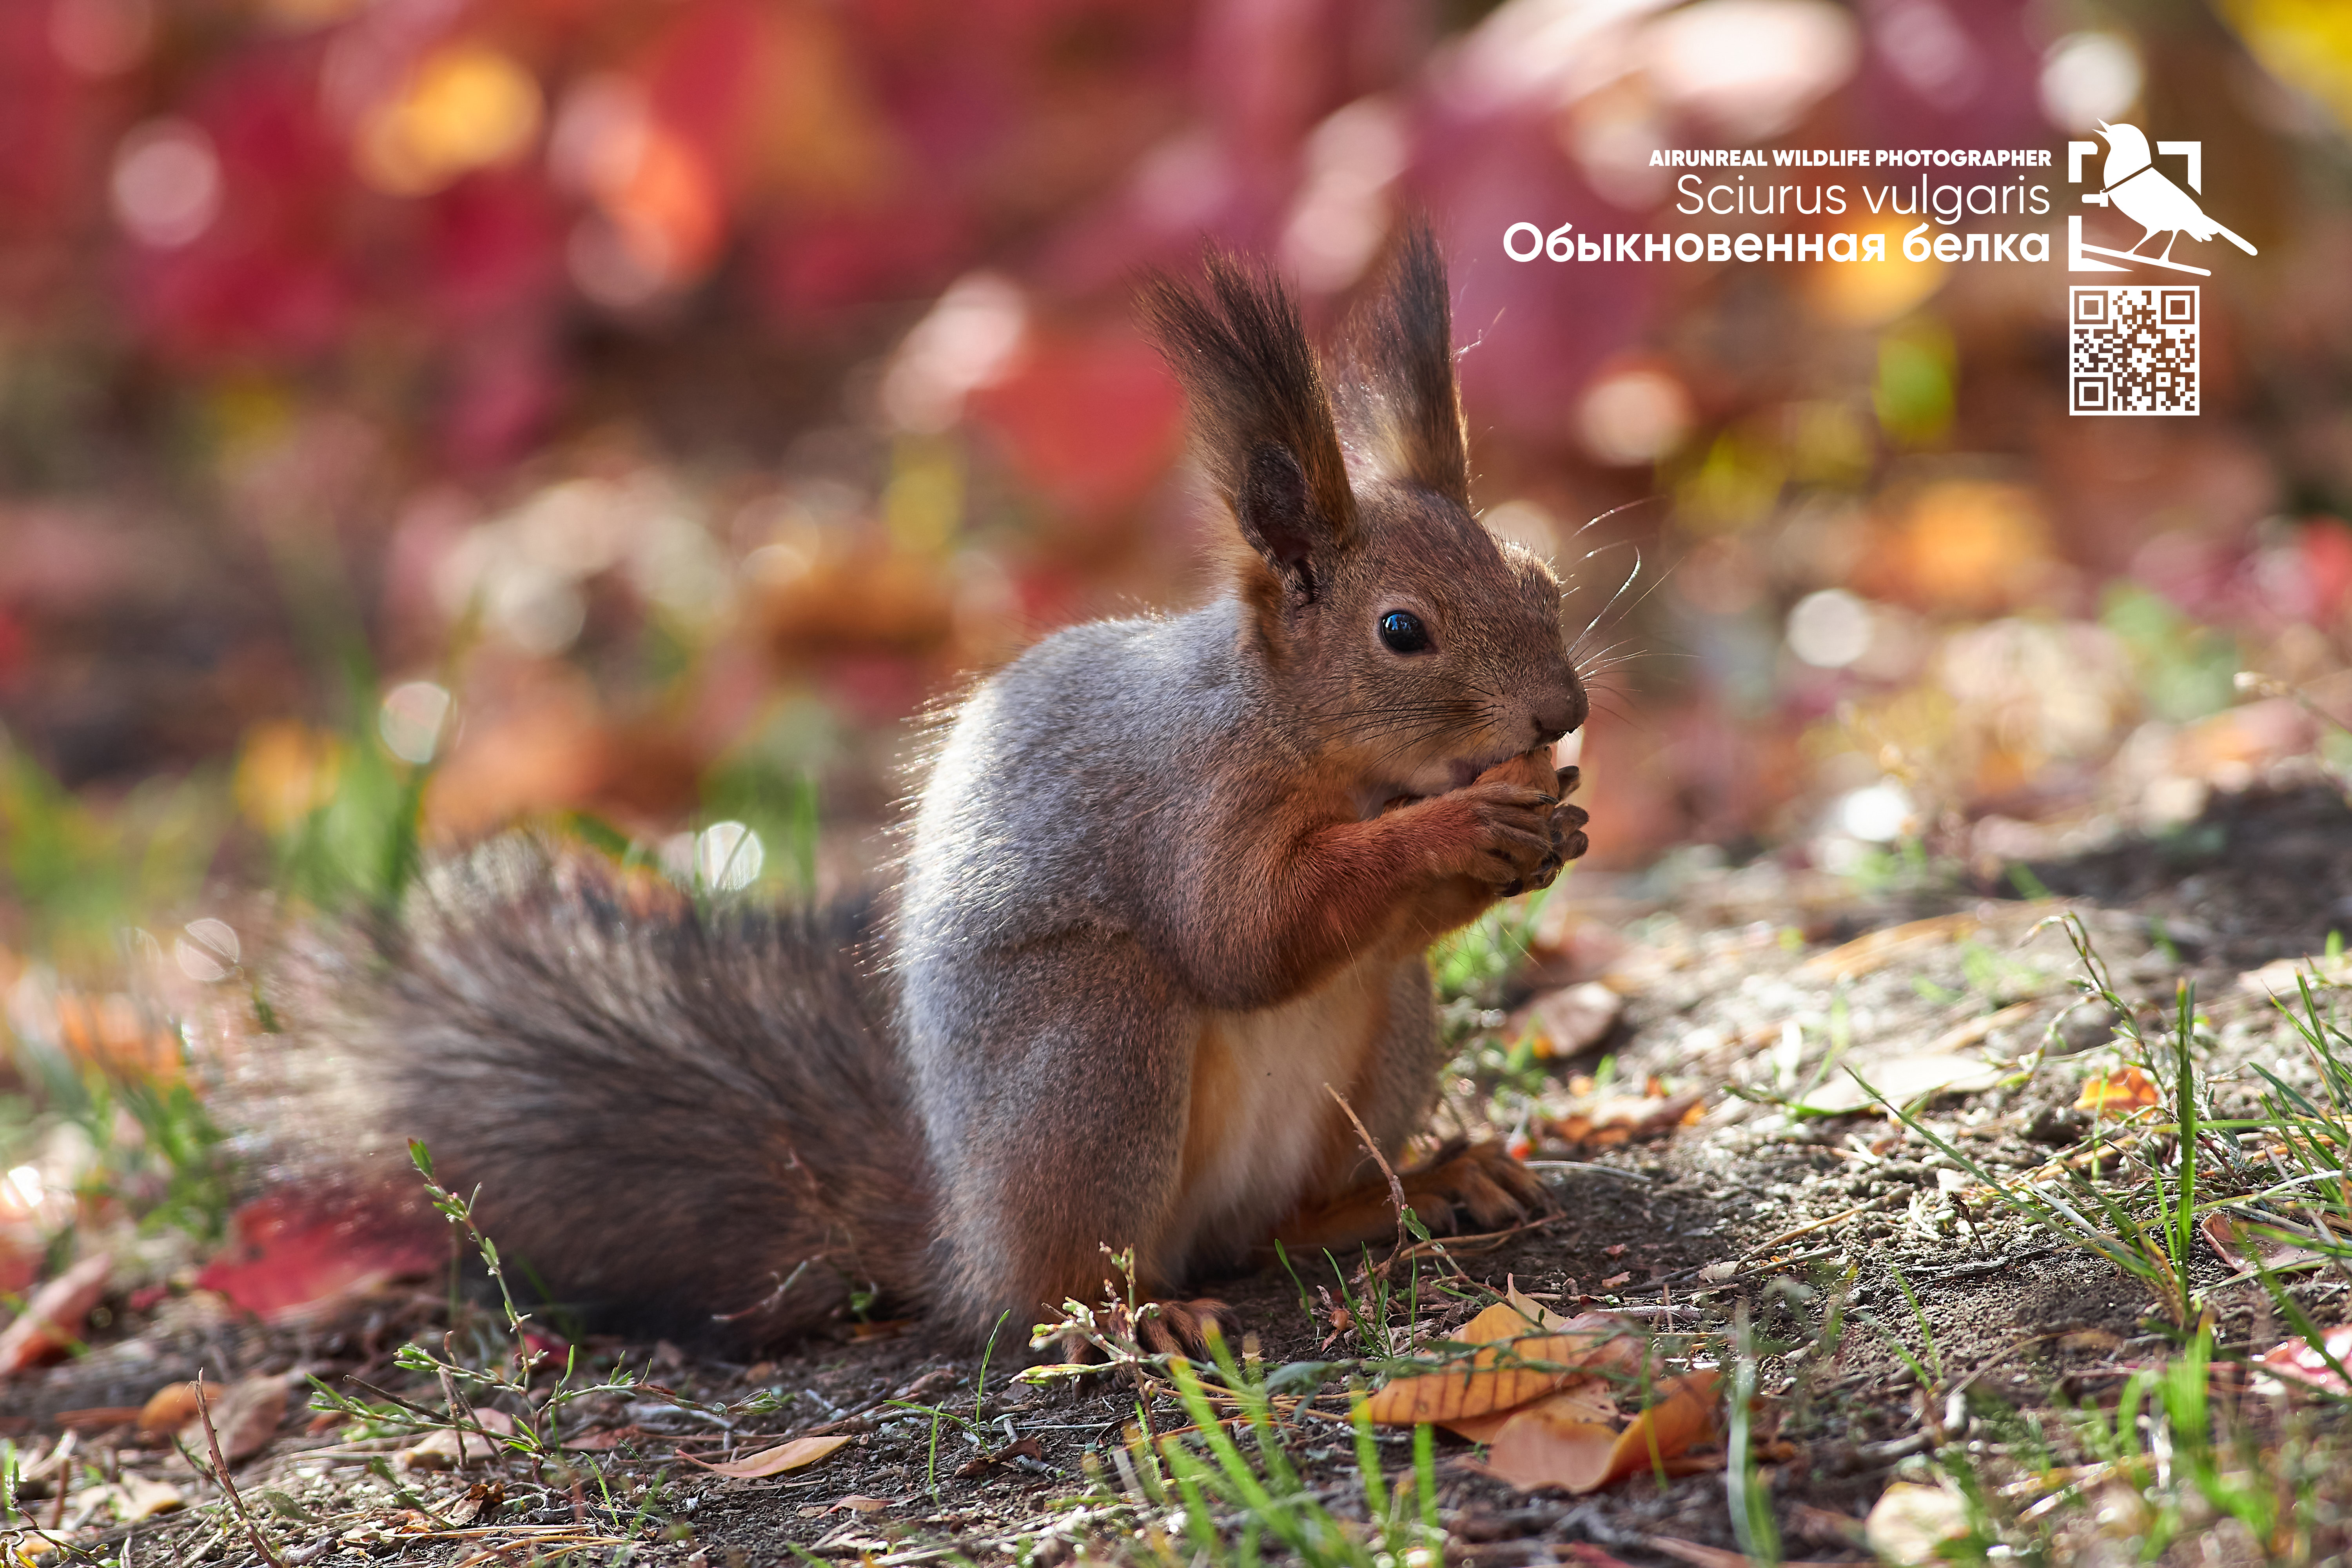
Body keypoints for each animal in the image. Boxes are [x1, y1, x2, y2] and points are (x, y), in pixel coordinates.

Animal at [275, 223, 1599, 1363]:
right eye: (1401, 632)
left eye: (1538, 577)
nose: (1560, 714)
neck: (1317, 747)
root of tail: (964, 1242)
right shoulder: (1192, 802)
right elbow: (1244, 937)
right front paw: (1460, 826)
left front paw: (1548, 824)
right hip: (1092, 1055)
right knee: (1070, 1280)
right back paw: (1127, 1318)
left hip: (1385, 1029)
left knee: (1272, 1219)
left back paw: (1421, 1185)